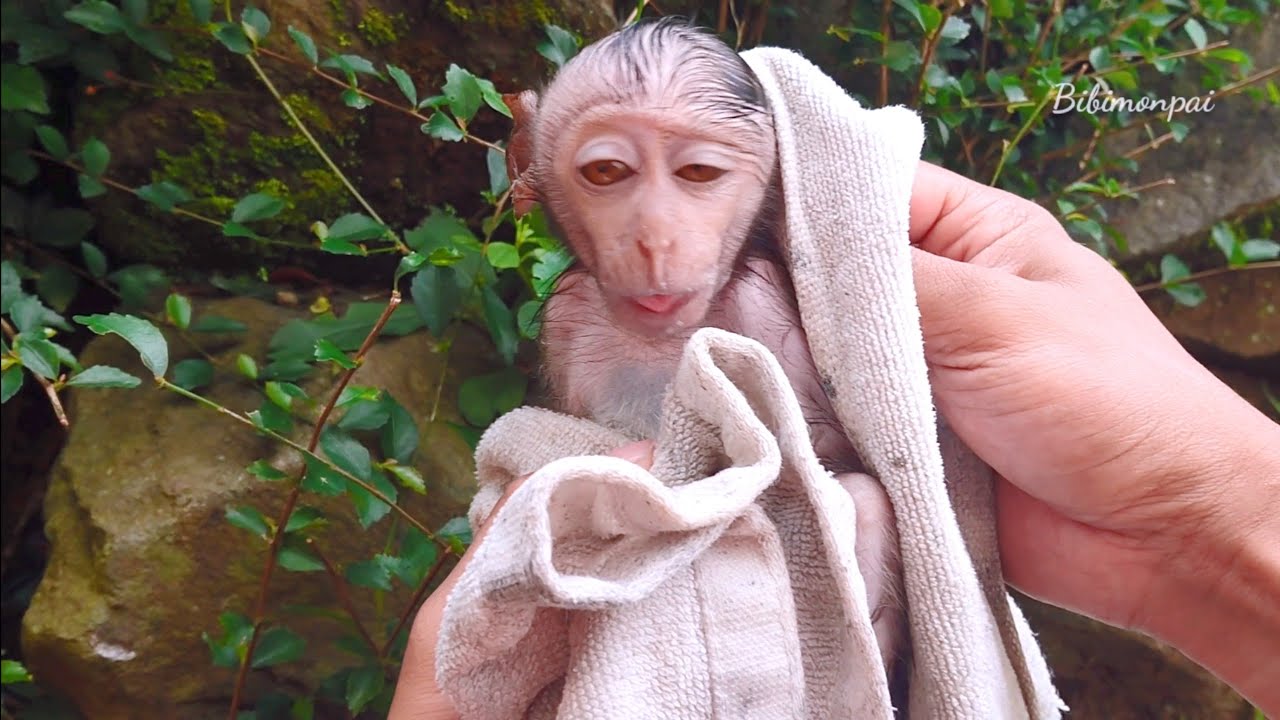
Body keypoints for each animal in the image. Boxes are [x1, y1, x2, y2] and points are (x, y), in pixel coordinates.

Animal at [504, 18, 906, 686]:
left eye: (698, 173)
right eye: (607, 171)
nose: (655, 238)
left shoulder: (766, 302)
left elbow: (817, 455)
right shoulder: (565, 320)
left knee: (868, 502)